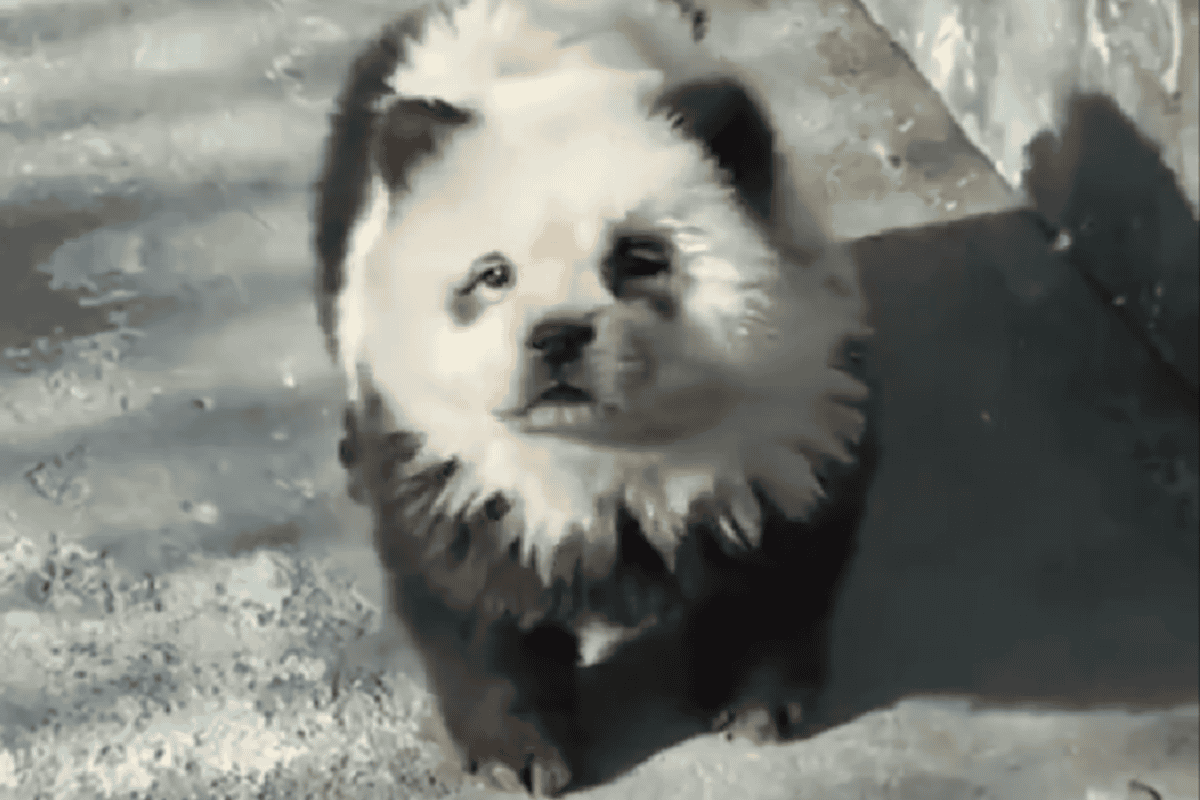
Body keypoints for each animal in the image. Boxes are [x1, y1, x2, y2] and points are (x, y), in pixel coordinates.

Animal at [314, 0, 874, 793]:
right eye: (492, 274)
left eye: (638, 257)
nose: (557, 338)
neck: (605, 448)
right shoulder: (453, 454)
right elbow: (470, 592)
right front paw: (517, 754)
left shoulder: (788, 412)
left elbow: (783, 551)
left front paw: (757, 703)